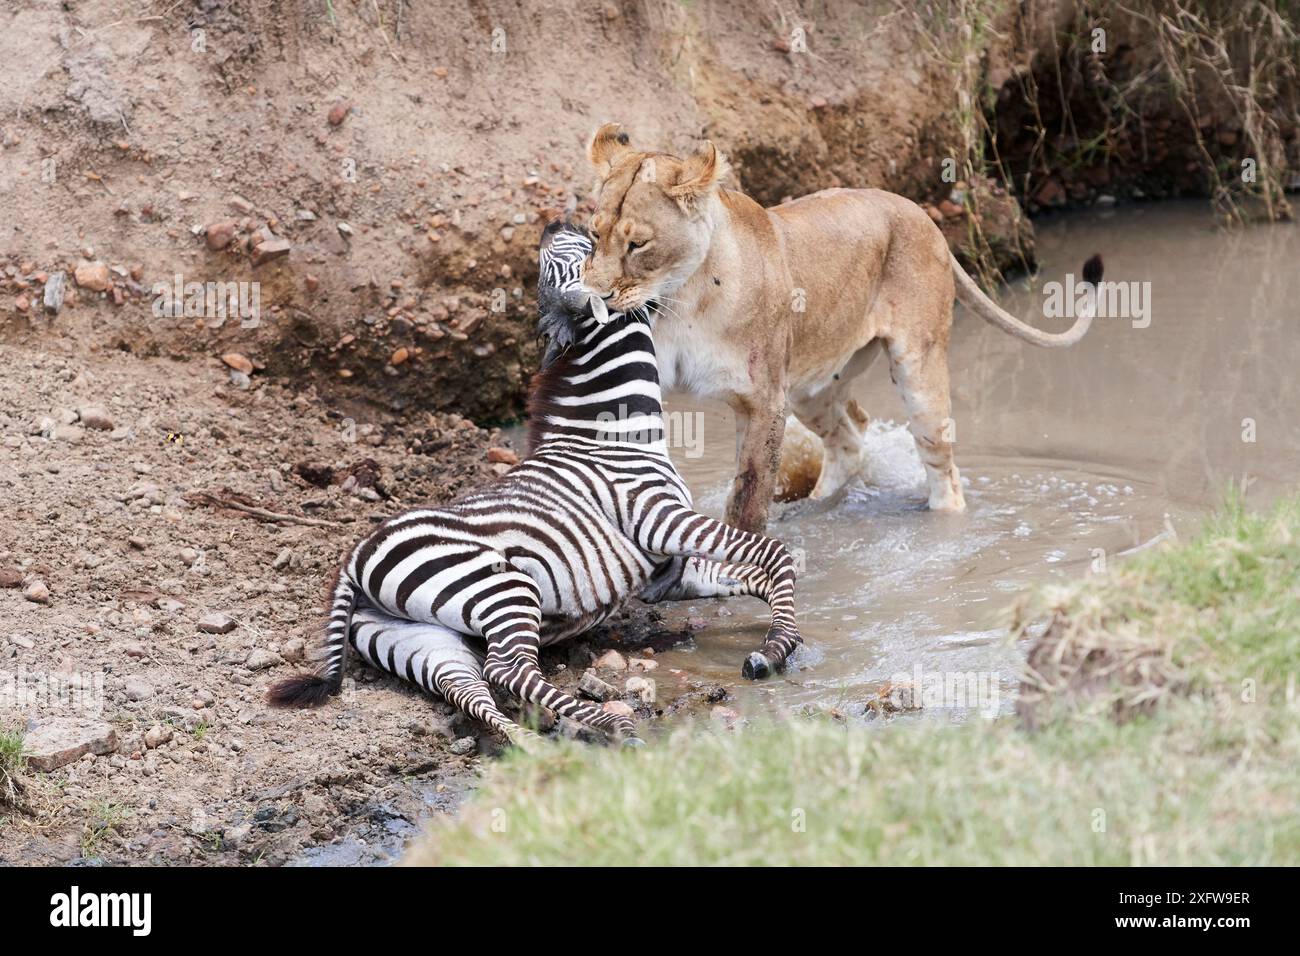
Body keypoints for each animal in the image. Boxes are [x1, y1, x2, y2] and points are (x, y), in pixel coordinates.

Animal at [269, 221, 803, 745]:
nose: (552, 223)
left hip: (410, 635)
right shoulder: (654, 516)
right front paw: (777, 647)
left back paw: (532, 751)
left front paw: (780, 639)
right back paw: (610, 727)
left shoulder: (665, 575)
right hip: (501, 585)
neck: (612, 435)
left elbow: (757, 574)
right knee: (507, 669)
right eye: (580, 249)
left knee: (466, 687)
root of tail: (354, 559)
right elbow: (773, 554)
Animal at [580, 123, 1102, 532]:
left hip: (916, 369)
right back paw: (819, 507)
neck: (678, 301)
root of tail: (916, 209)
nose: (594, 295)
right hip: (811, 386)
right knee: (850, 437)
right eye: (594, 234)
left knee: (942, 466)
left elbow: (749, 497)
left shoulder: (764, 400)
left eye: (638, 244)